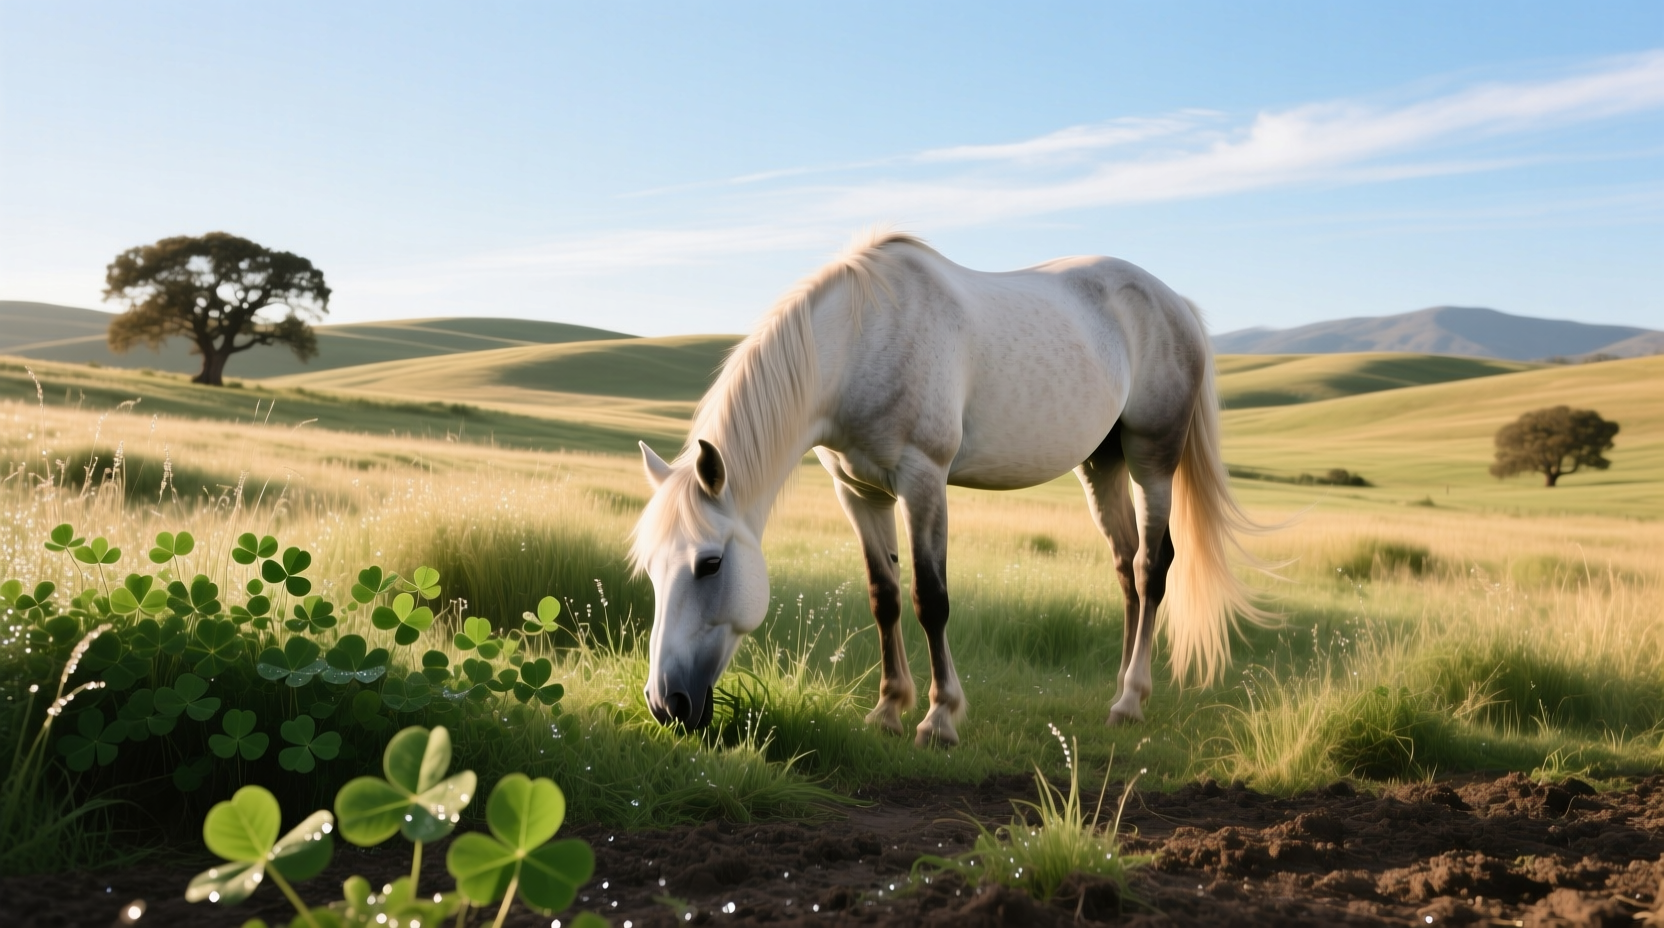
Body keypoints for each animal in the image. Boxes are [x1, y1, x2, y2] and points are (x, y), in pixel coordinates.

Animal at [631, 230, 1265, 746]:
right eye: (651, 568)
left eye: (710, 564)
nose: (666, 704)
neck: (862, 339)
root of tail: (1174, 302)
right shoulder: (858, 492)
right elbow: (884, 597)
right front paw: (889, 709)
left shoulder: (923, 479)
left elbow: (930, 599)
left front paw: (939, 718)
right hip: (1100, 463)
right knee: (1125, 565)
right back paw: (1118, 690)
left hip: (1151, 460)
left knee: (1151, 569)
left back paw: (1131, 700)